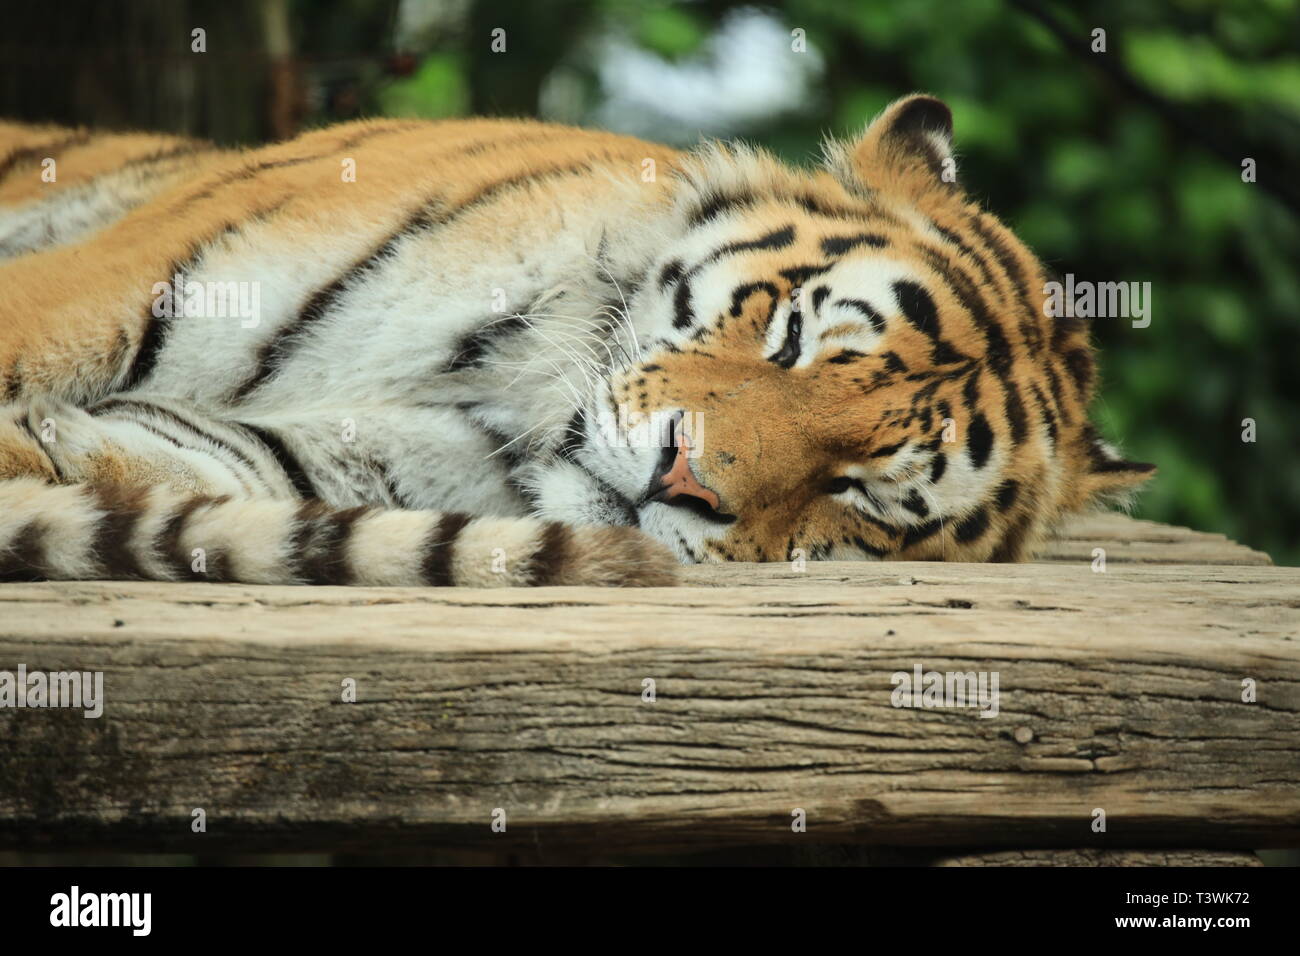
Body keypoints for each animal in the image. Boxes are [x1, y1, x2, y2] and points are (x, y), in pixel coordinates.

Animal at [0, 95, 1153, 588]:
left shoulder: (367, 458)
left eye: (861, 490)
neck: (509, 382)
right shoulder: (98, 290)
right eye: (789, 334)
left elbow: (205, 462)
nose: (681, 479)